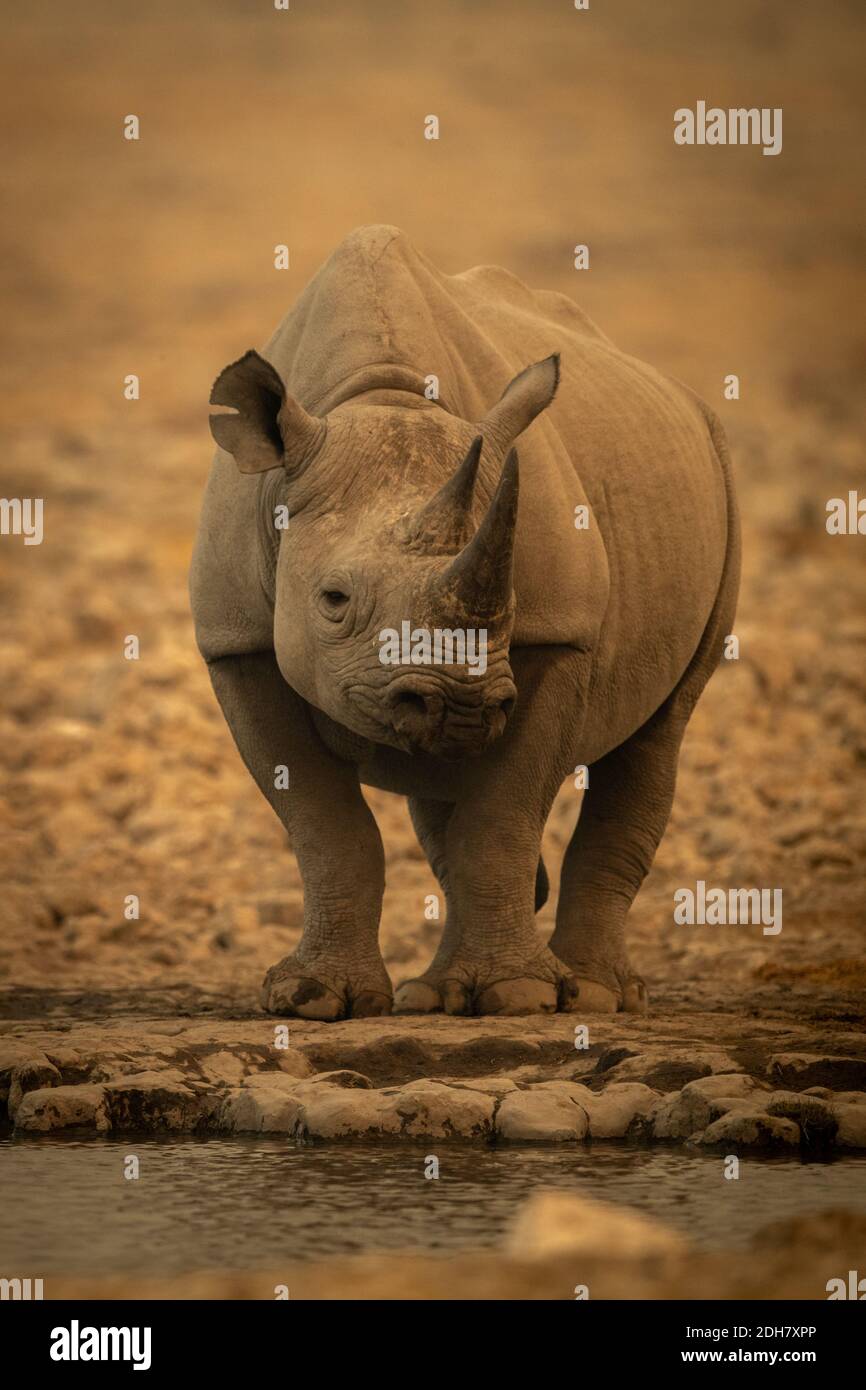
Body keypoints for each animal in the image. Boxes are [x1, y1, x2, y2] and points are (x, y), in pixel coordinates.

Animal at [190, 225, 740, 1020]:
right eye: (333, 600)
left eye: (511, 596)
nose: (459, 701)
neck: (381, 396)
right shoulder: (237, 642)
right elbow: (328, 829)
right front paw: (312, 1000)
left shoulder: (555, 636)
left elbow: (500, 818)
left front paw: (518, 995)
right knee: (441, 795)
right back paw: (438, 995)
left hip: (720, 470)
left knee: (660, 731)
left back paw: (594, 995)